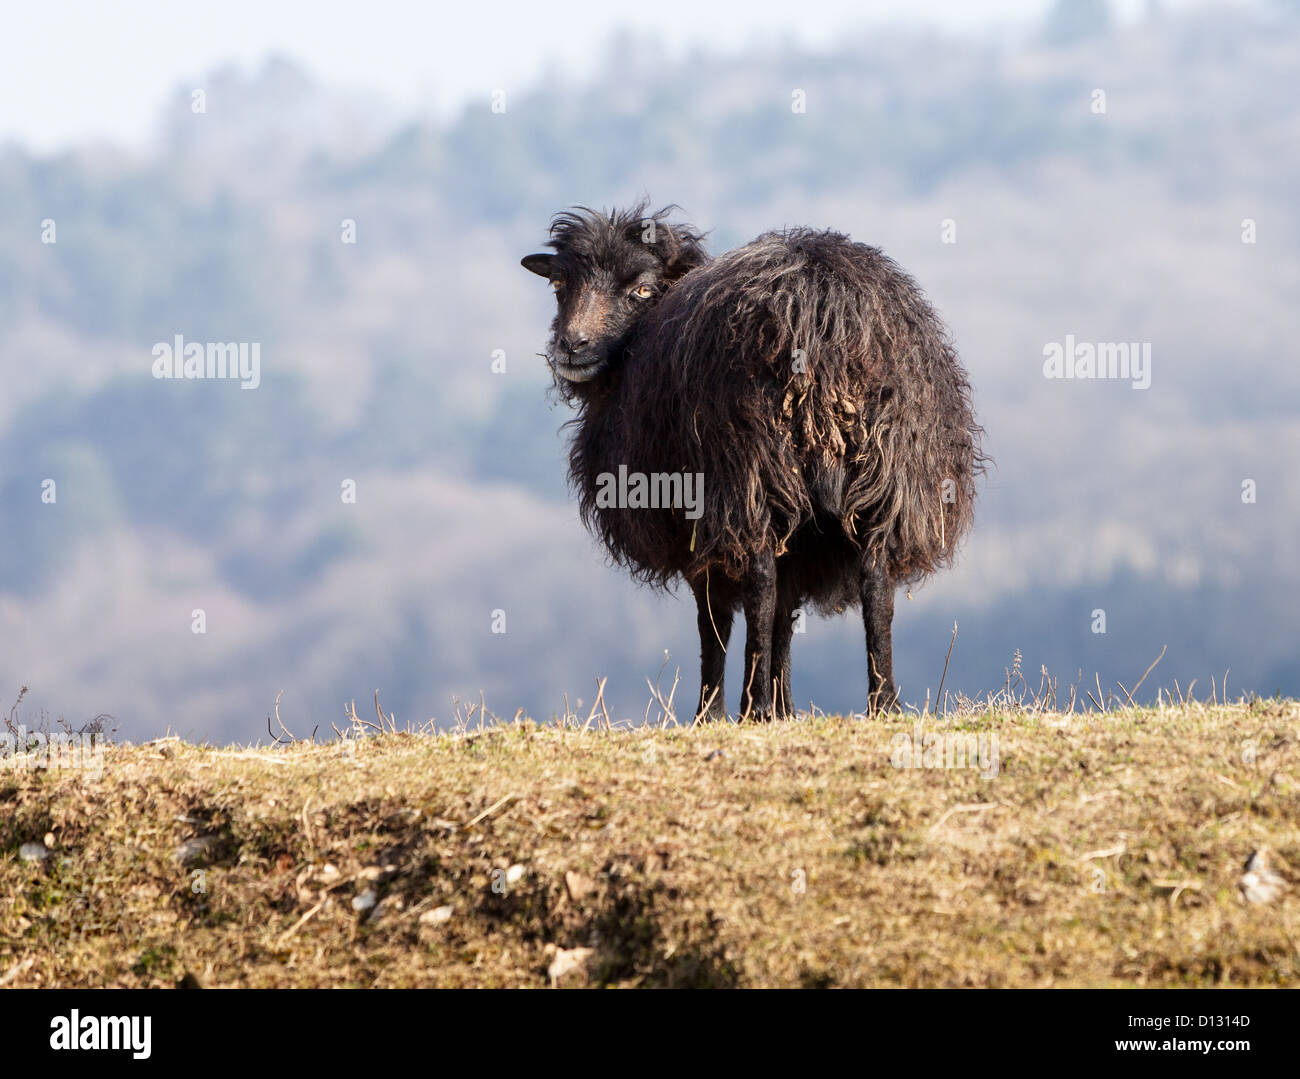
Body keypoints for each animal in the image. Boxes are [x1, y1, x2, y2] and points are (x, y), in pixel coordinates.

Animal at [522, 202, 985, 720]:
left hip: (748, 475)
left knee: (760, 585)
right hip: (886, 478)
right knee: (876, 586)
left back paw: (755, 705)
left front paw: (716, 712)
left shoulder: (697, 525)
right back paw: (882, 702)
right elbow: (786, 612)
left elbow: (717, 621)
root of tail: (820, 313)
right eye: (559, 283)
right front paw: (785, 709)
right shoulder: (802, 532)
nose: (572, 346)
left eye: (641, 289)